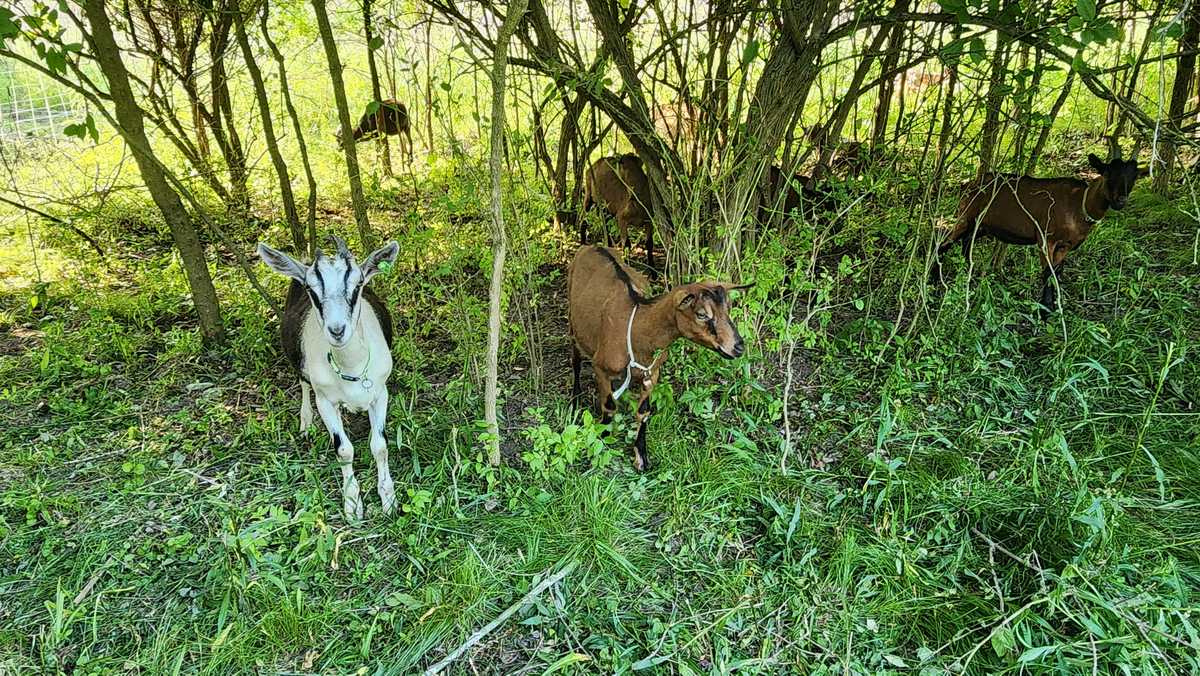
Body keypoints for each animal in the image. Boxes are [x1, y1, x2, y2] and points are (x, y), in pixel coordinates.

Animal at [258, 236, 400, 520]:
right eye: (311, 289)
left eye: (358, 284)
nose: (337, 330)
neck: (352, 368)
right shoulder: (325, 401)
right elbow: (344, 450)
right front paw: (352, 506)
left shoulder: (380, 393)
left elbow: (380, 445)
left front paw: (389, 501)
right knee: (303, 384)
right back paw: (306, 423)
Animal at [568, 245, 749, 471]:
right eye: (701, 314)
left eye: (728, 309)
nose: (739, 347)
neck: (637, 330)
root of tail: (591, 246)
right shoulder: (600, 366)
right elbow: (609, 406)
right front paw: (603, 438)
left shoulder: (652, 373)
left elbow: (643, 412)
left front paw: (641, 457)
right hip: (573, 322)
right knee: (575, 358)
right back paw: (575, 398)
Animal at [933, 153, 1143, 317]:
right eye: (1107, 174)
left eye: (1133, 178)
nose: (1120, 201)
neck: (1079, 205)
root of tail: (969, 184)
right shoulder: (1046, 238)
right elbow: (1047, 272)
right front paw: (1045, 310)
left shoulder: (1066, 245)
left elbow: (1057, 272)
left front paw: (1054, 306)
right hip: (966, 215)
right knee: (944, 242)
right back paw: (936, 281)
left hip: (981, 226)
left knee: (965, 244)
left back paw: (967, 274)